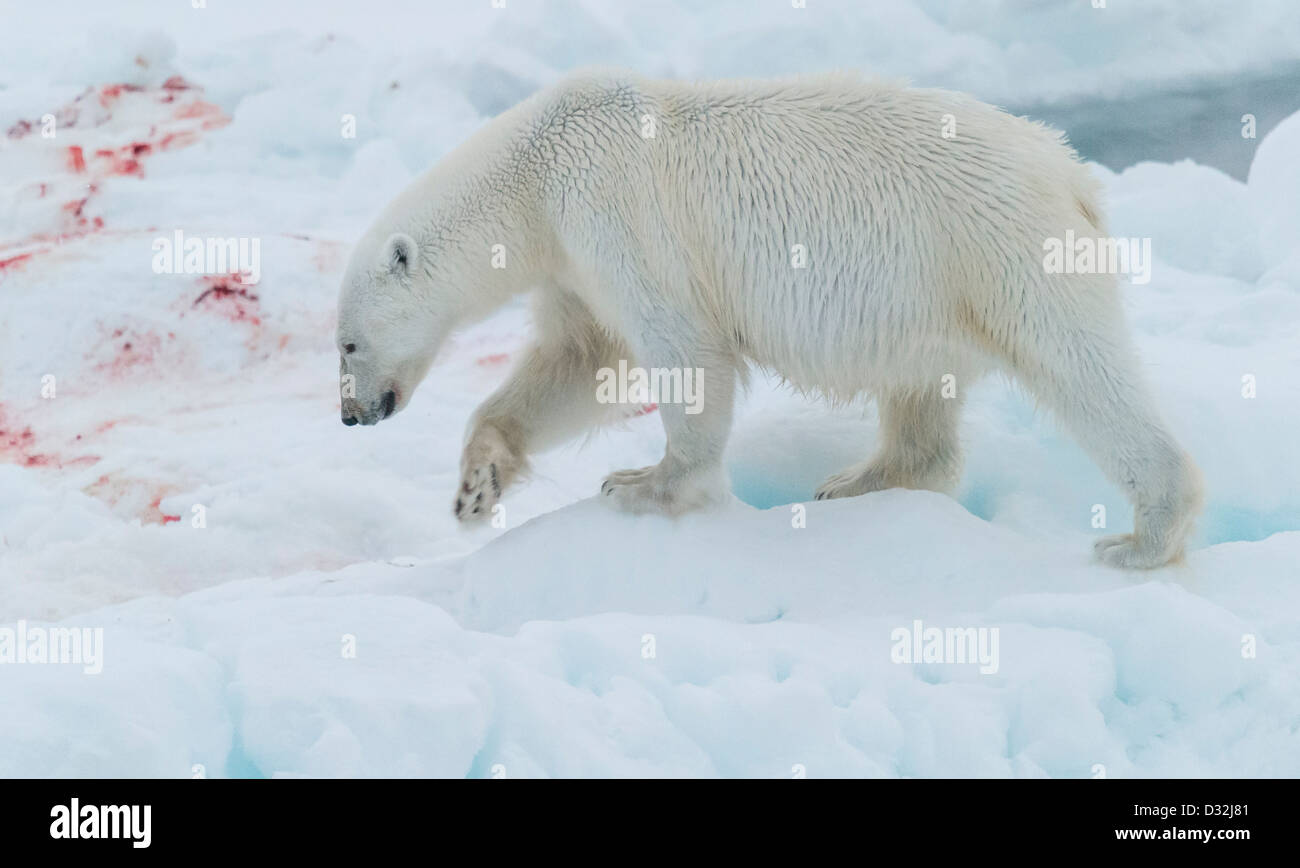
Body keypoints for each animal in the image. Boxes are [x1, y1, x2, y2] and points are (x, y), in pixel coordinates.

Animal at [335, 69, 1202, 569]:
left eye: (346, 343)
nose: (350, 415)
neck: (534, 169)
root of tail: (1072, 172)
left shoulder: (613, 210)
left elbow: (681, 346)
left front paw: (642, 483)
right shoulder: (572, 259)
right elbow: (580, 359)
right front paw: (476, 485)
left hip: (999, 250)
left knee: (1081, 369)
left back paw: (1142, 537)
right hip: (927, 290)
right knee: (923, 389)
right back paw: (857, 481)